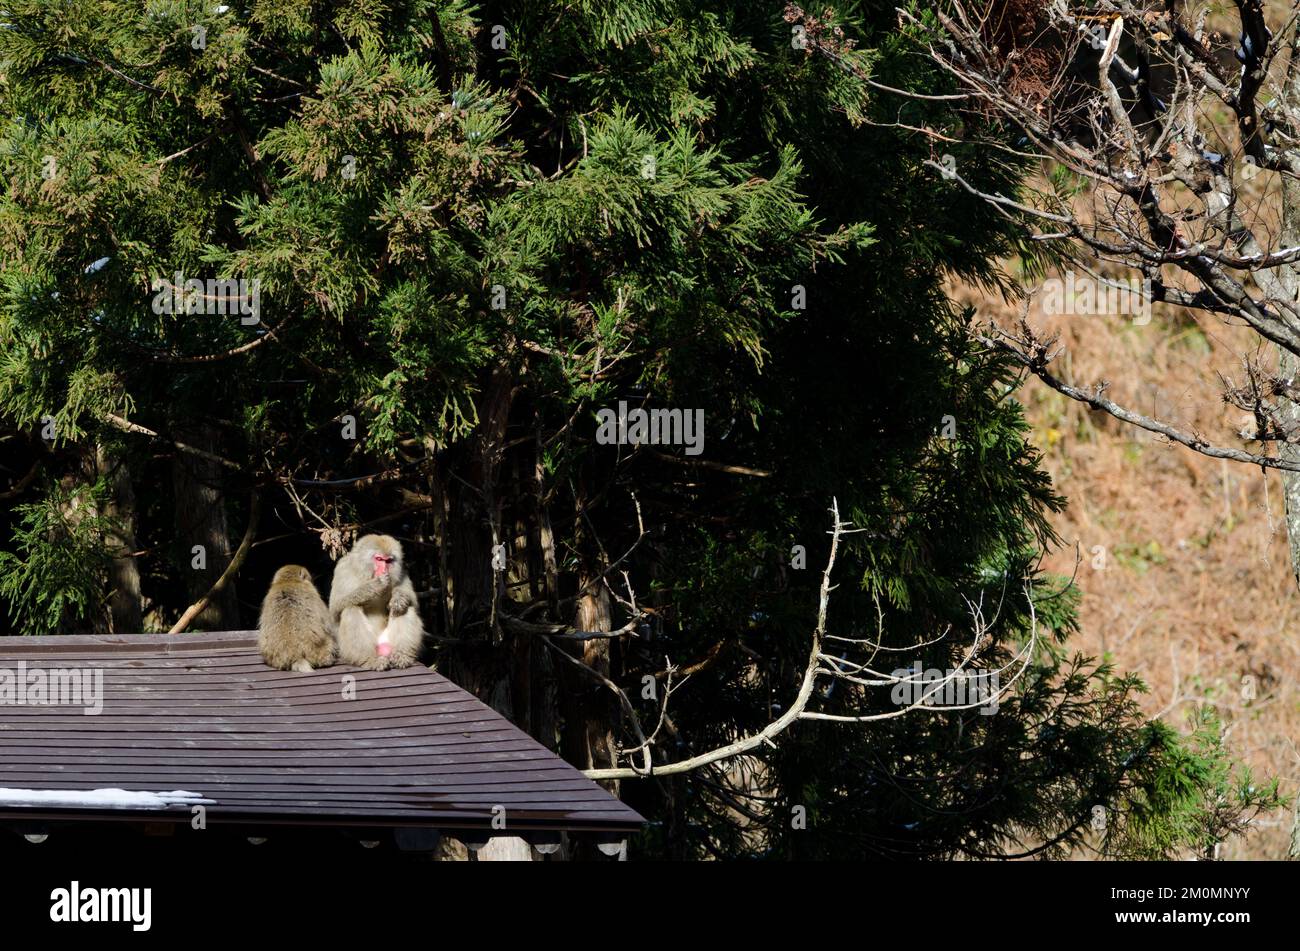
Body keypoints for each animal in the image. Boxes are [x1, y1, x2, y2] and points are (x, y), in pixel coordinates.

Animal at [329, 534, 424, 670]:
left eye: (388, 561)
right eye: (379, 559)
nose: (384, 570)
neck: (366, 574)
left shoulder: (402, 571)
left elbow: (413, 603)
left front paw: (398, 598)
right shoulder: (343, 569)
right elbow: (335, 609)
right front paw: (376, 585)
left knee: (406, 608)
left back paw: (401, 655)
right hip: (347, 648)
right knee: (351, 609)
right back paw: (370, 659)